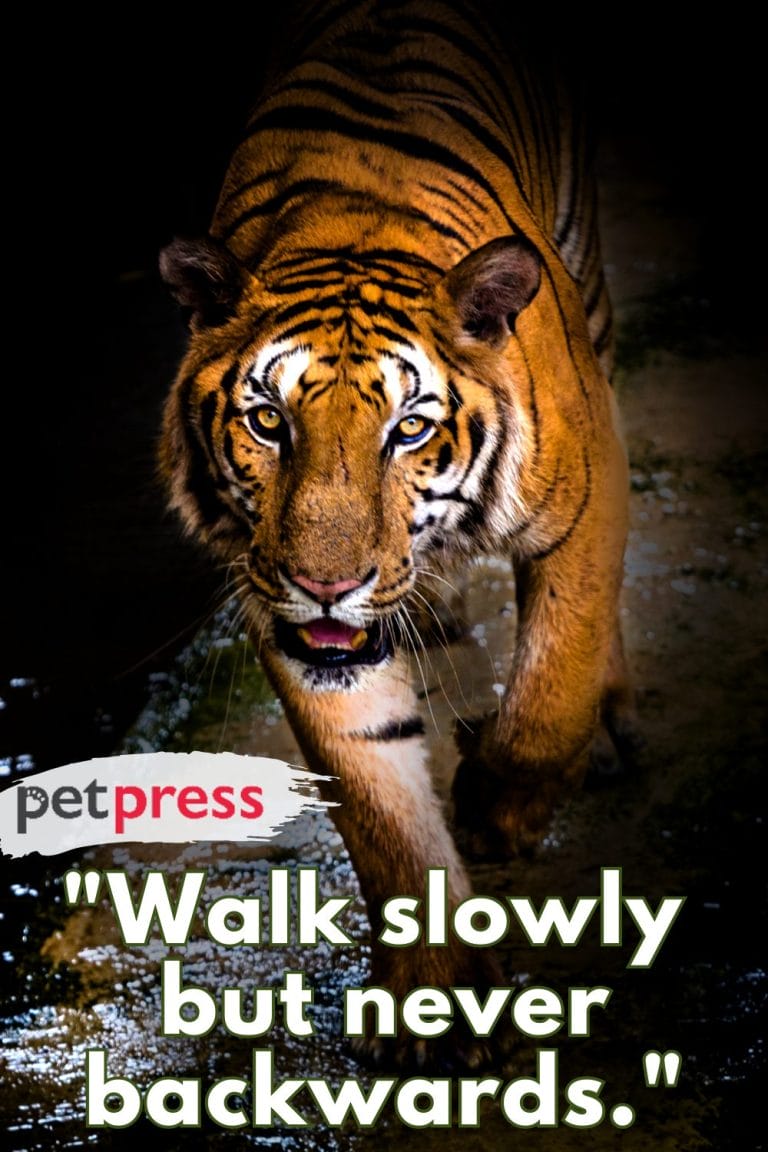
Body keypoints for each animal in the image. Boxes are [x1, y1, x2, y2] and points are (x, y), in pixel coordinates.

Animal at [159, 0, 635, 1068]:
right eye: (267, 422)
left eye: (407, 430)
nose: (328, 585)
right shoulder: (285, 612)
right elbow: (374, 793)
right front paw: (437, 1000)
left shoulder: (585, 502)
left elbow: (552, 689)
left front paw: (497, 808)